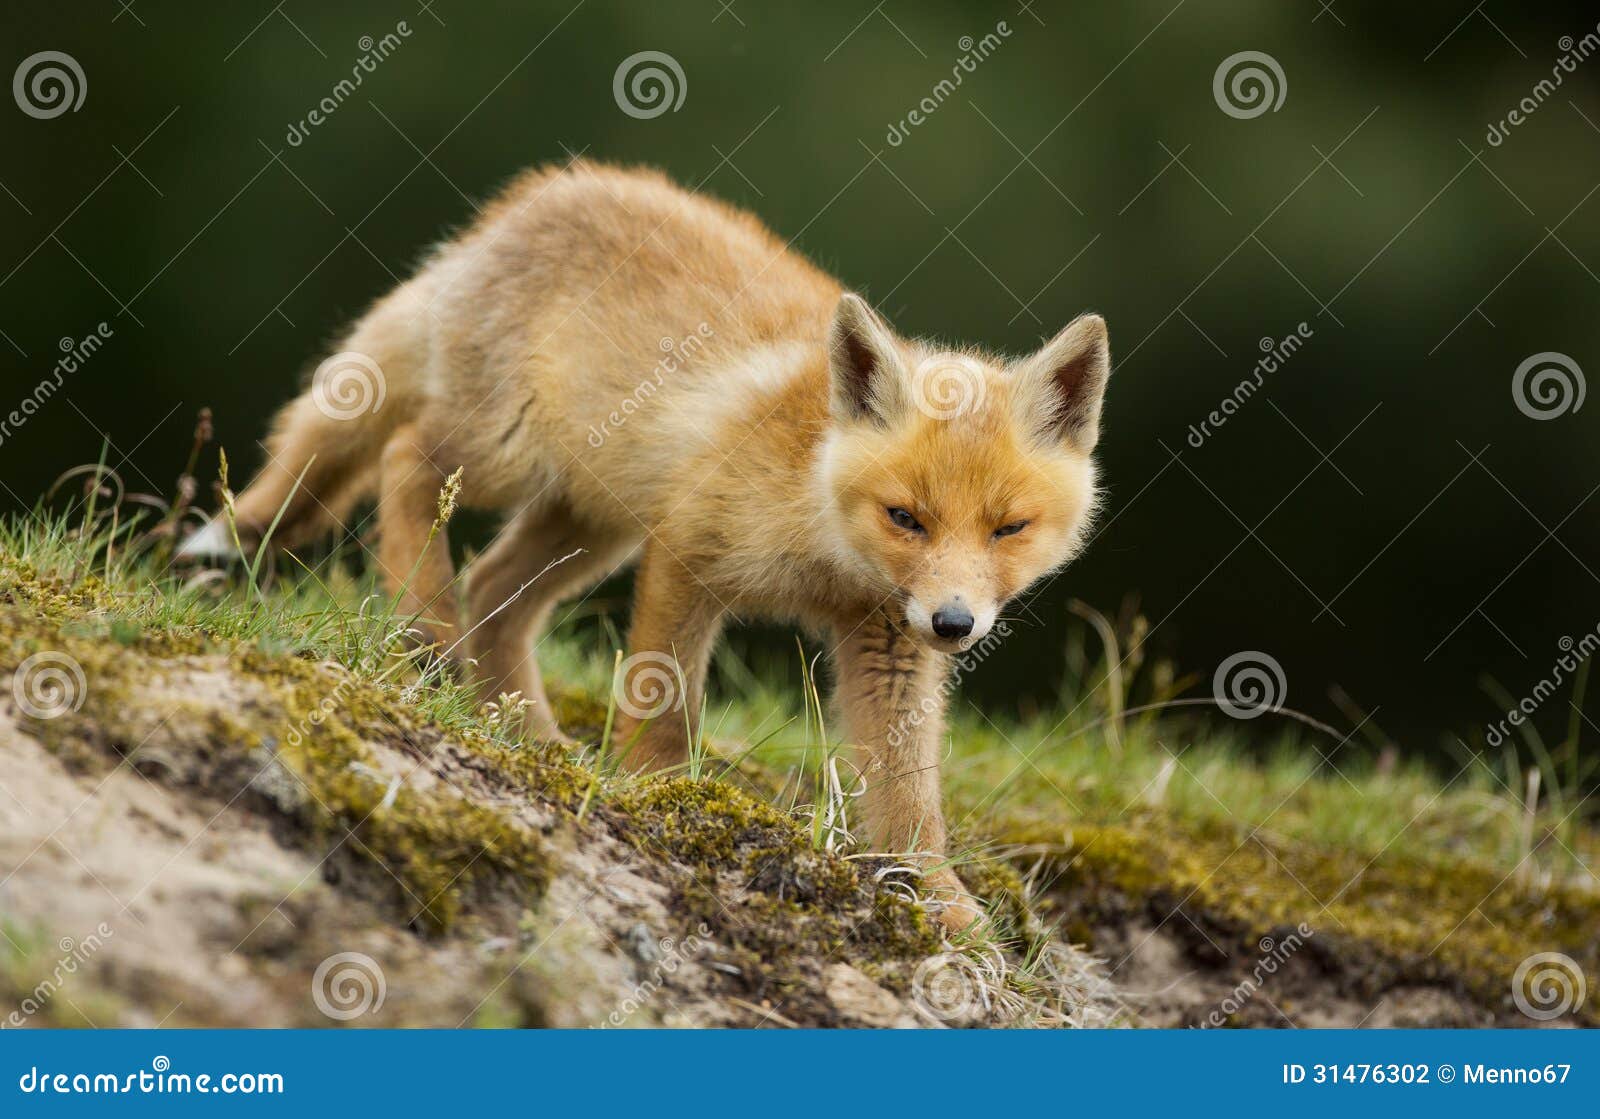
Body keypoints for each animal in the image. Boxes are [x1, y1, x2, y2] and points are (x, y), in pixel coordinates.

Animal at [181, 161, 1112, 931]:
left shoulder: (888, 638)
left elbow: (911, 789)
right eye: (906, 517)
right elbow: (665, 699)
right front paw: (662, 791)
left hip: (590, 519)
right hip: (509, 457)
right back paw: (428, 626)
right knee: (405, 464)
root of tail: (521, 203)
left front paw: (942, 900)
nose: (955, 623)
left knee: (492, 588)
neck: (820, 537)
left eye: (1008, 528)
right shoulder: (688, 547)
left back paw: (520, 726)